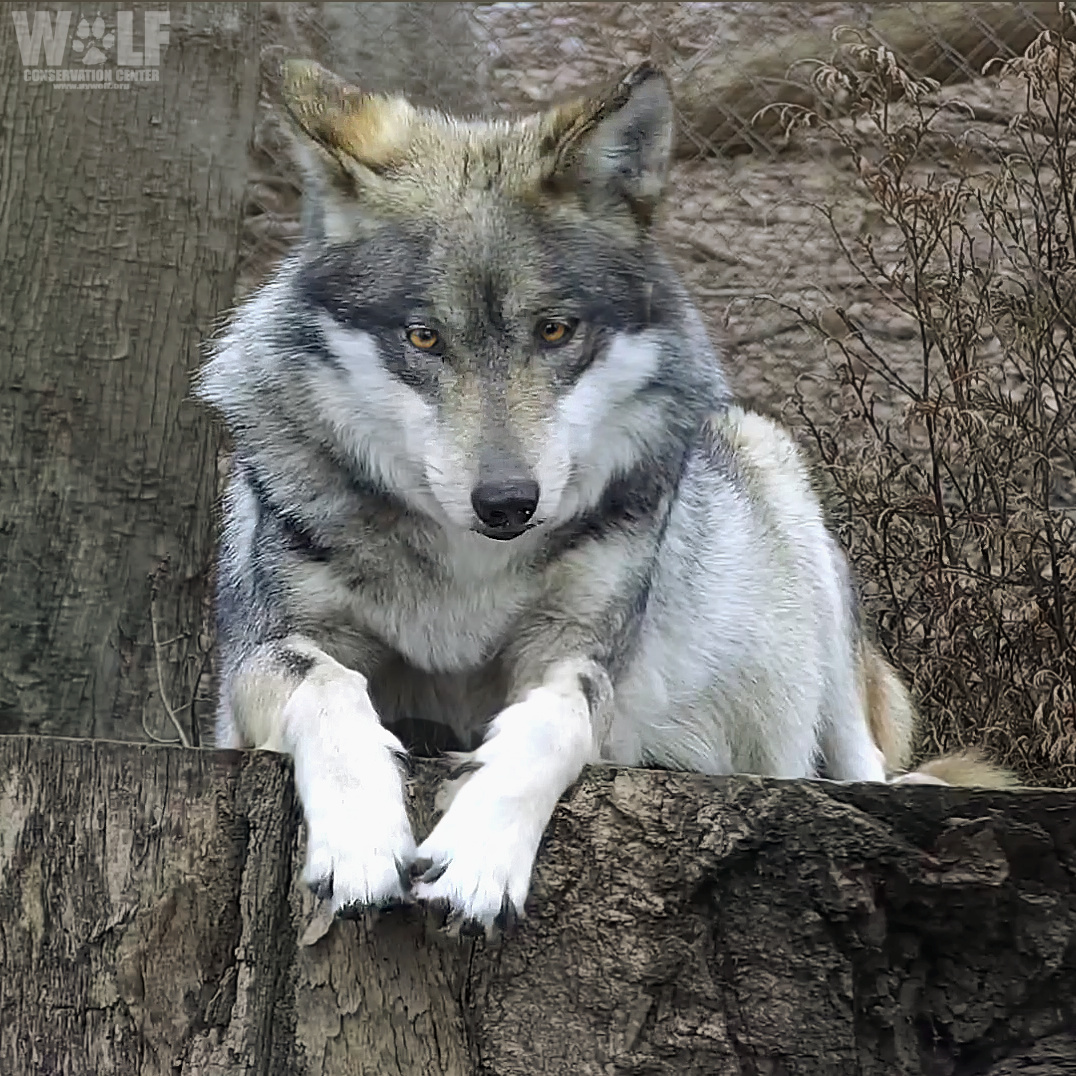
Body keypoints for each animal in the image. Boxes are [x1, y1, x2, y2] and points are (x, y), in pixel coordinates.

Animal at [197, 60, 1012, 931]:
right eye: (423, 337)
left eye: (555, 330)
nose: (507, 502)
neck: (466, 570)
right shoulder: (258, 660)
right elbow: (329, 686)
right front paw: (360, 840)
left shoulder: (580, 656)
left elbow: (552, 724)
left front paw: (478, 857)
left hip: (780, 484)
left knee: (861, 760)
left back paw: (903, 788)